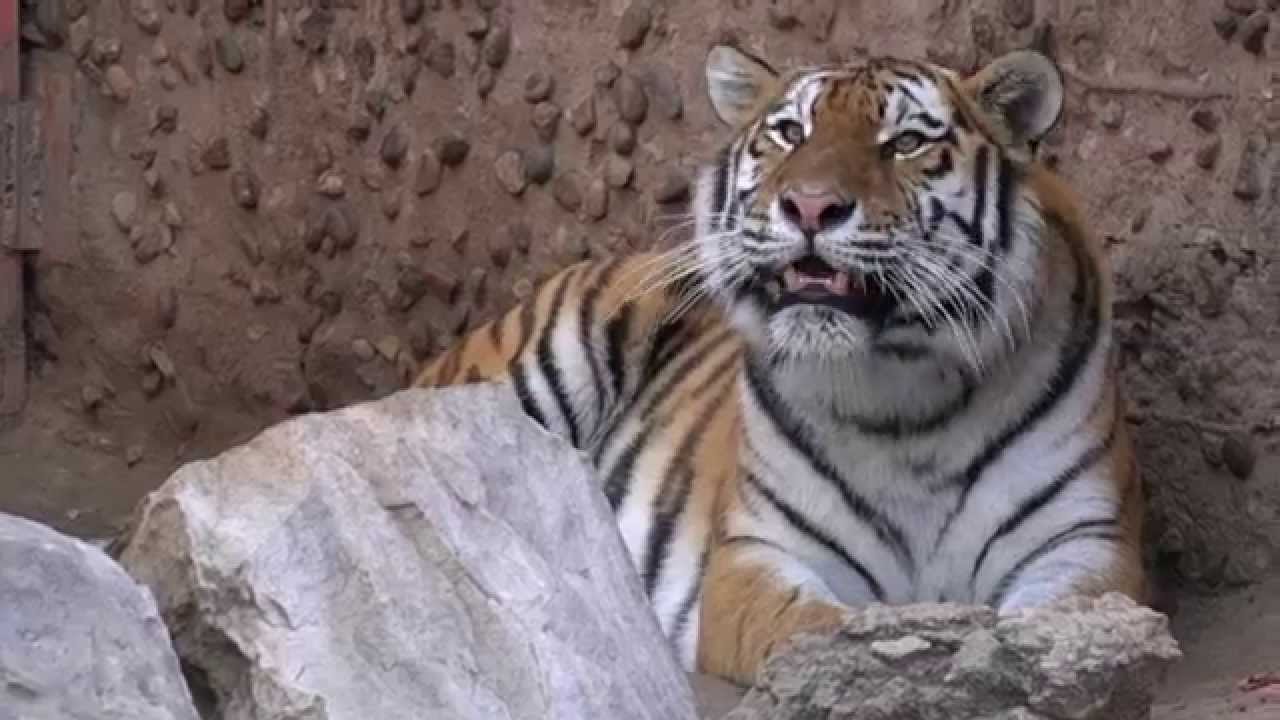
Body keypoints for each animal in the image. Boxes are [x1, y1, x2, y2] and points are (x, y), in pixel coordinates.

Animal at [414, 44, 1146, 686]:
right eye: (791, 133)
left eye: (905, 143)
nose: (811, 206)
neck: (909, 398)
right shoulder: (759, 553)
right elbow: (818, 634)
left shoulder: (1086, 541)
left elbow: (1056, 623)